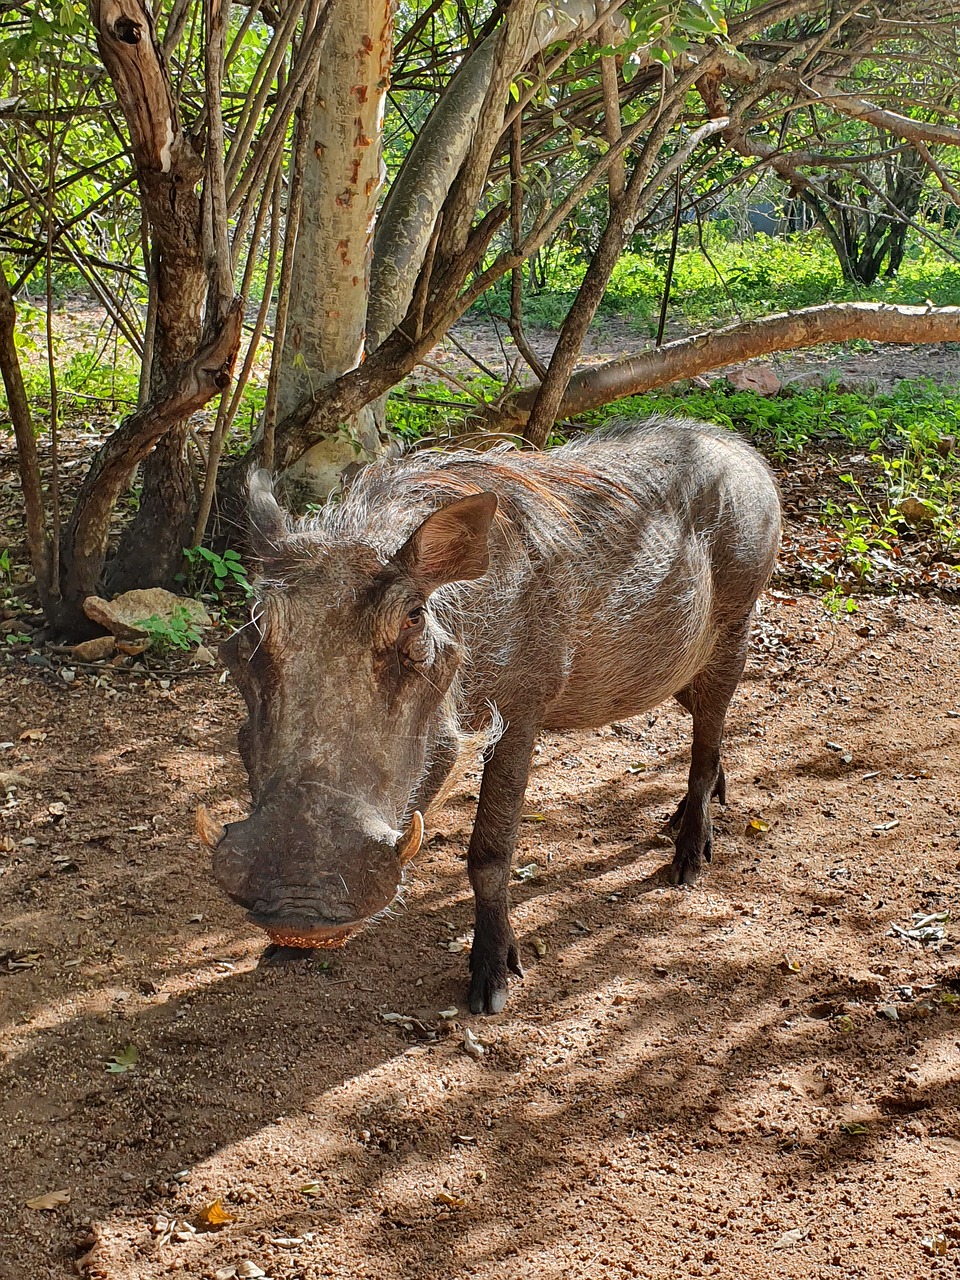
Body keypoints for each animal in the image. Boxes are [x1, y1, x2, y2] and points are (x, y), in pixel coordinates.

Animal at [201, 416, 781, 1014]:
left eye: (413, 618)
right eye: (252, 627)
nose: (298, 915)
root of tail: (741, 450)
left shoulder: (522, 716)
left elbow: (490, 852)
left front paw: (492, 980)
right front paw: (284, 955)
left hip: (733, 635)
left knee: (708, 739)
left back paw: (689, 857)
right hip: (671, 670)